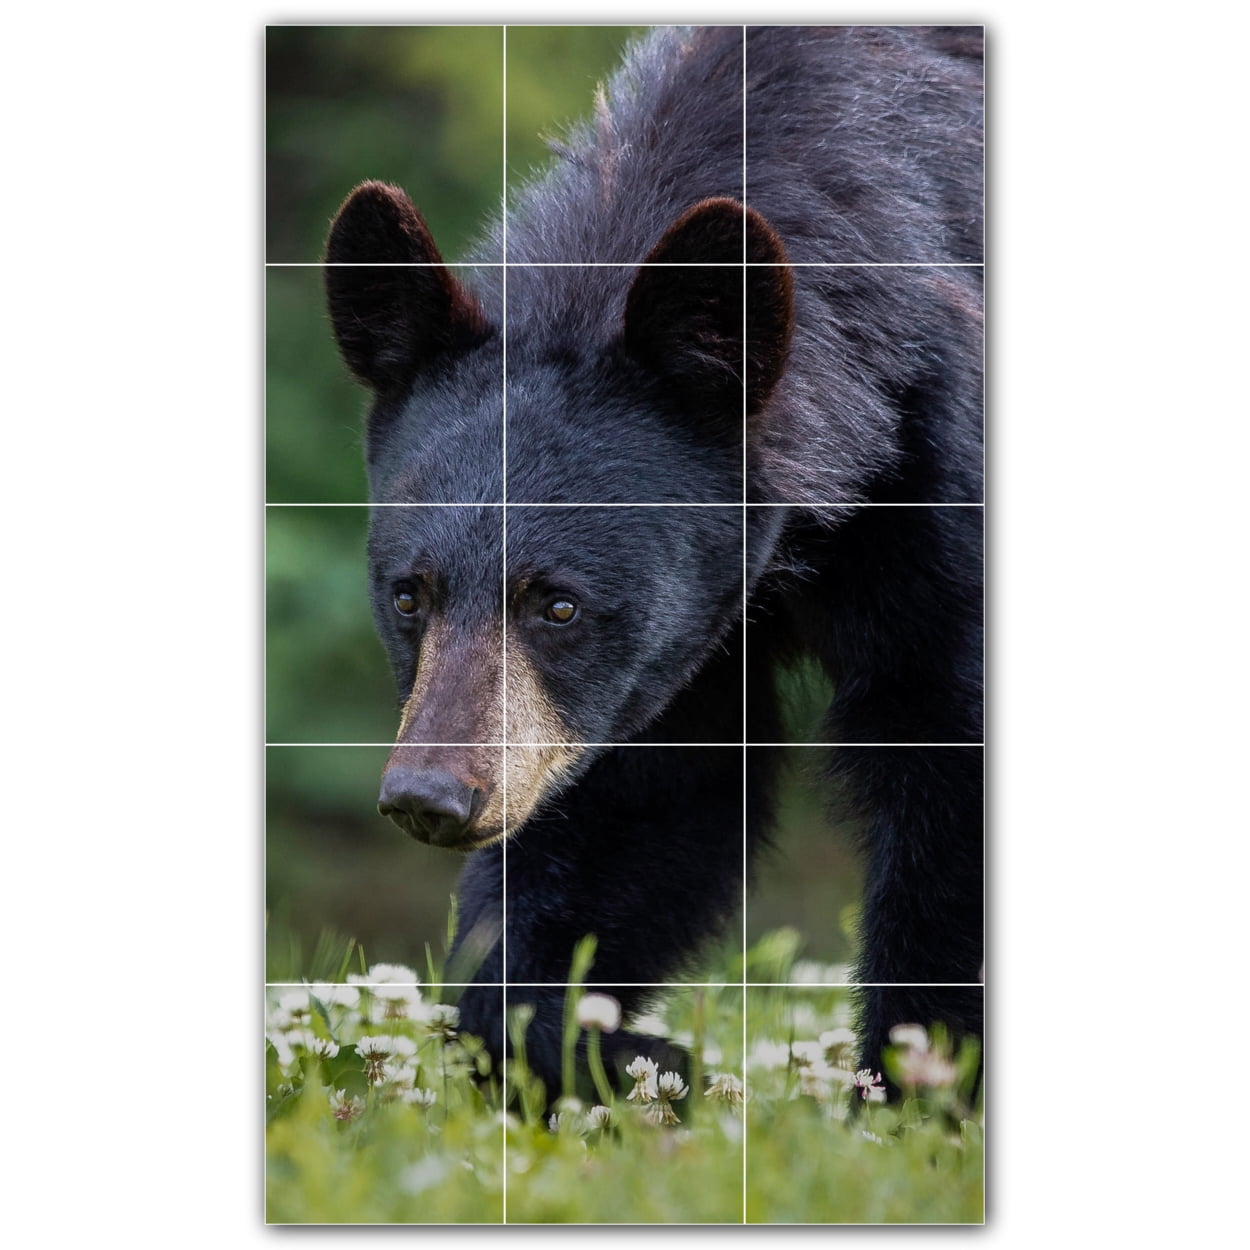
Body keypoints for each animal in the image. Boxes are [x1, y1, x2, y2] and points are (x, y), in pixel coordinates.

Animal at [323, 25, 983, 1097]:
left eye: (558, 604)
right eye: (410, 595)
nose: (431, 797)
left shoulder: (934, 465)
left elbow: (943, 743)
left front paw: (916, 1085)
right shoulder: (677, 643)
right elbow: (644, 801)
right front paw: (615, 1054)